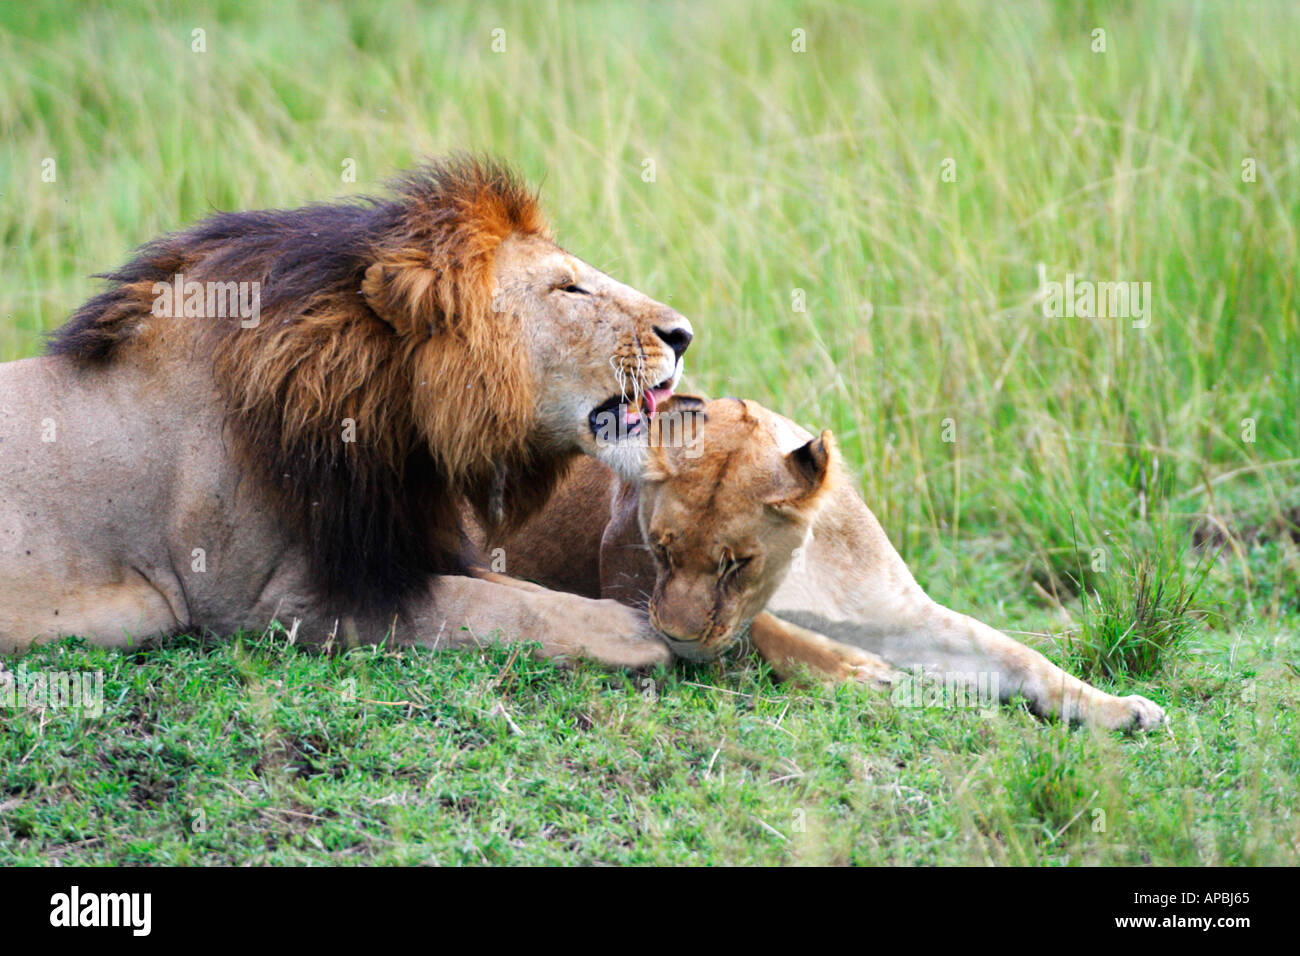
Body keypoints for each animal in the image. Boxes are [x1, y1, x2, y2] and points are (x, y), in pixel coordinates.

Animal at [0, 157, 693, 668]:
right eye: (569, 287)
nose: (683, 334)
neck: (395, 418)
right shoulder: (268, 603)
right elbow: (489, 608)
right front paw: (632, 632)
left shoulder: (395, 547)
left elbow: (515, 590)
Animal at [475, 396, 1167, 731]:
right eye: (662, 548)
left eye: (737, 564)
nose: (677, 639)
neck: (800, 569)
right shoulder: (629, 586)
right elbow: (769, 630)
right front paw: (874, 677)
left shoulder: (900, 612)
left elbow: (1016, 655)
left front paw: (1121, 708)